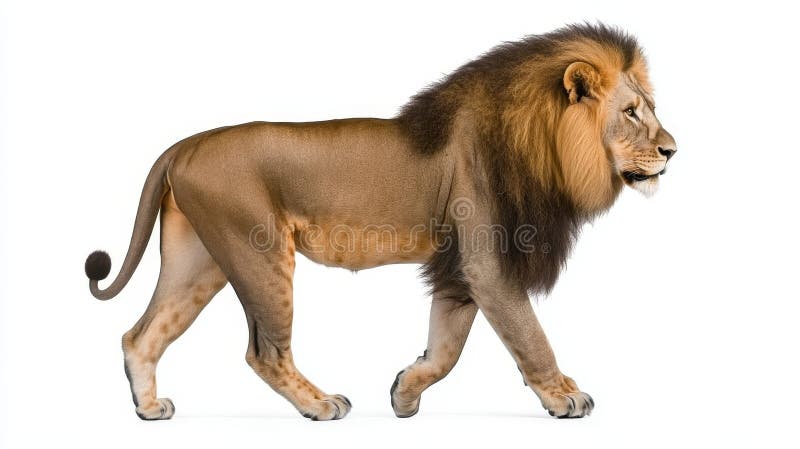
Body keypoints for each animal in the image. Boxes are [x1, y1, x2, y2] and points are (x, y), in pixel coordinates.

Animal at [84, 23, 676, 421]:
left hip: (199, 260)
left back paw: (148, 408)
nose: (673, 150)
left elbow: (446, 348)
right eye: (630, 112)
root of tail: (184, 145)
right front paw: (563, 395)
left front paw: (404, 392)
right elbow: (530, 337)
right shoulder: (489, 263)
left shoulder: (460, 268)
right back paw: (321, 405)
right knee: (263, 352)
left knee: (141, 334)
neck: (546, 145)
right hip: (259, 253)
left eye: (650, 107)